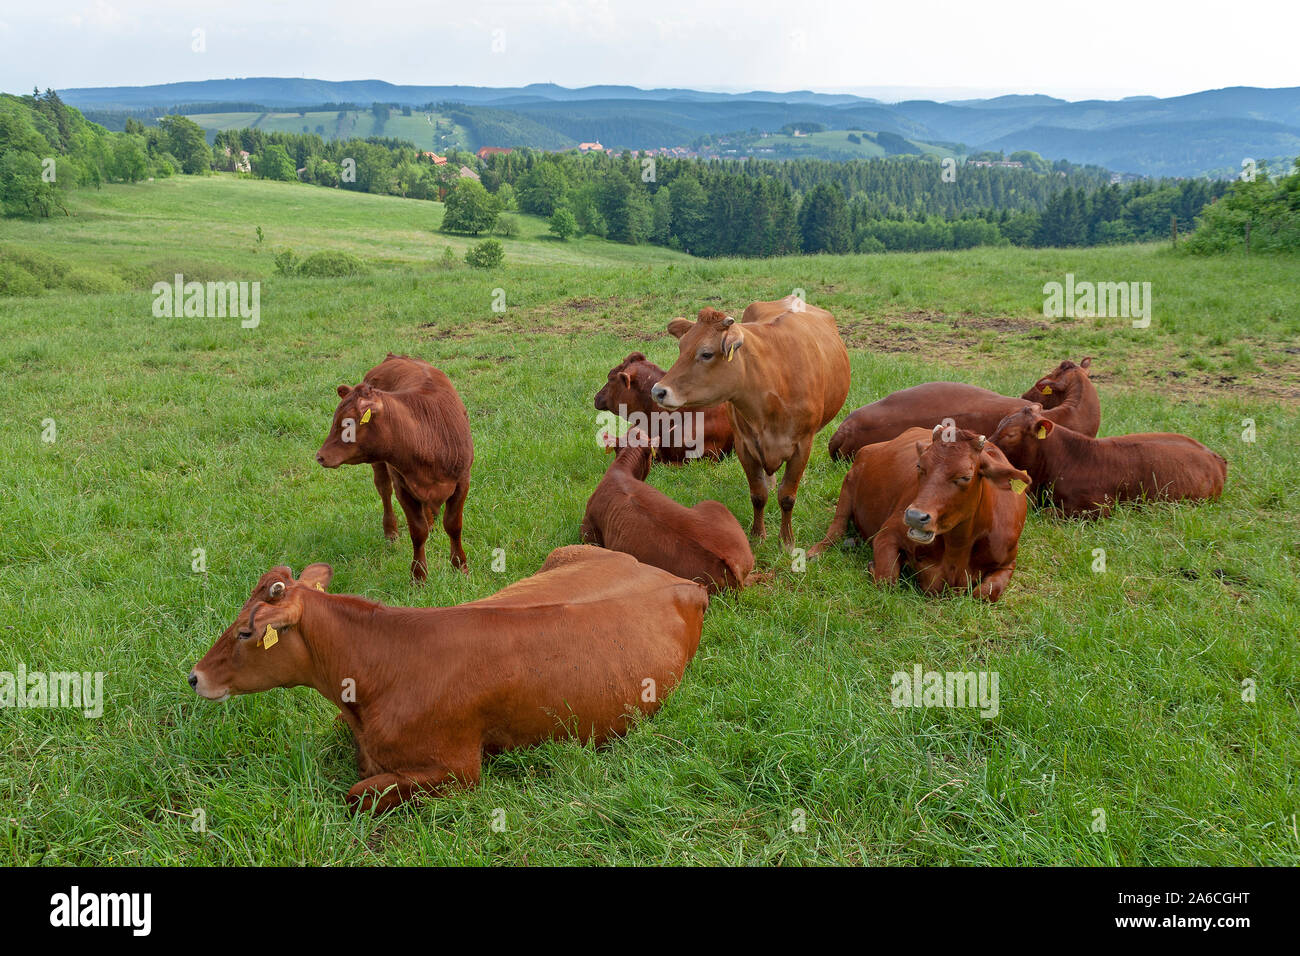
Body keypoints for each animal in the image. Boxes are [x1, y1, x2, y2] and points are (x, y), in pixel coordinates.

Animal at [315, 353, 473, 579]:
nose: (320, 456)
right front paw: (418, 576)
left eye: (348, 423)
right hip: (379, 465)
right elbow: (418, 532)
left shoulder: (462, 481)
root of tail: (395, 357)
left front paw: (460, 568)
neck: (427, 437)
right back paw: (391, 533)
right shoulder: (403, 487)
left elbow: (453, 526)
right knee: (384, 490)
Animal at [650, 297, 851, 548]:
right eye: (681, 347)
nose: (658, 391)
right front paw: (757, 537)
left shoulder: (802, 445)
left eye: (706, 354)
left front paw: (787, 541)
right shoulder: (744, 445)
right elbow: (758, 494)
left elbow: (788, 496)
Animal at [809, 426, 1032, 602]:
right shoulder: (887, 534)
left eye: (965, 477)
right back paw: (817, 551)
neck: (957, 549)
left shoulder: (1008, 562)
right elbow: (887, 580)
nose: (916, 516)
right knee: (837, 528)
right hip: (849, 481)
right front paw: (874, 567)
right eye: (919, 466)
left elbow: (984, 593)